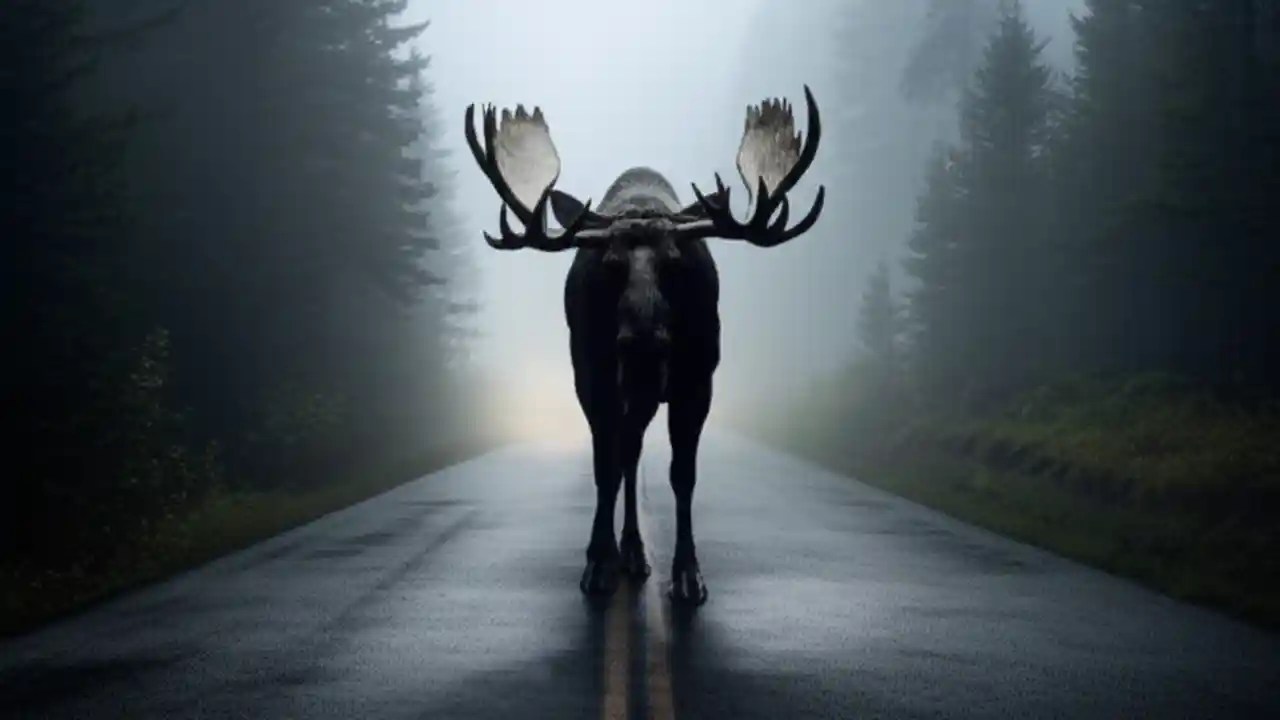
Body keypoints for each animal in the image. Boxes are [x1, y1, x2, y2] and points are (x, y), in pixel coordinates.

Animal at [464, 87, 824, 605]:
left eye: (674, 263)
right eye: (611, 265)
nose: (644, 344)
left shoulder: (697, 383)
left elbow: (681, 475)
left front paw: (687, 572)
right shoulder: (592, 380)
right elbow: (605, 468)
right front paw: (597, 560)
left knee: (633, 451)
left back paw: (634, 549)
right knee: (625, 456)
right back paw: (626, 550)